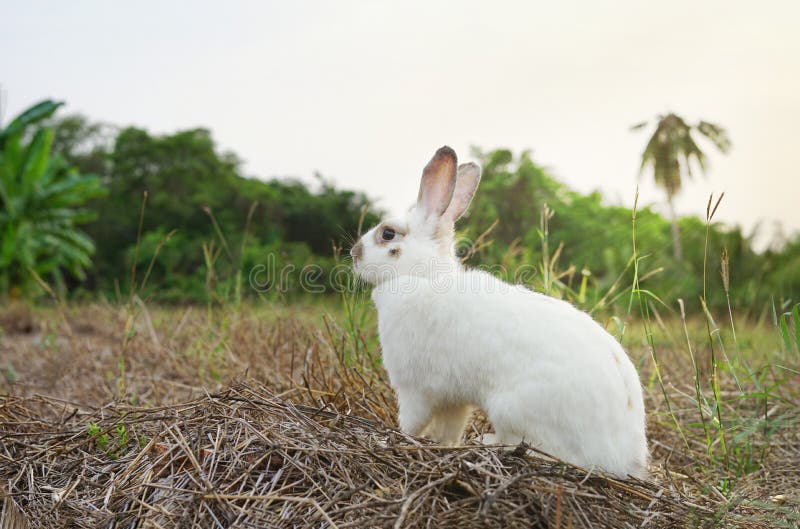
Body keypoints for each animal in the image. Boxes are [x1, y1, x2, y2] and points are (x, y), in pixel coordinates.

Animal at [350, 146, 648, 479]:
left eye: (388, 234)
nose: (354, 254)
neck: (423, 275)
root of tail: (625, 461)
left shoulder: (416, 390)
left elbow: (411, 423)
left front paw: (396, 438)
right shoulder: (453, 400)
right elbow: (448, 429)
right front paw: (444, 444)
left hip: (513, 411)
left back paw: (488, 441)